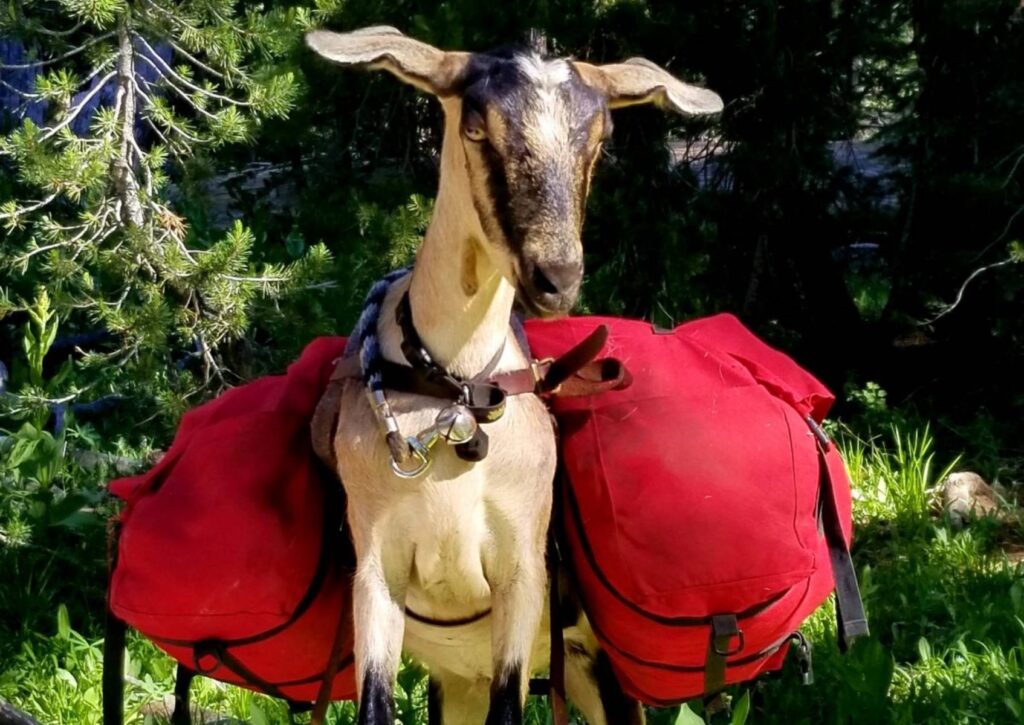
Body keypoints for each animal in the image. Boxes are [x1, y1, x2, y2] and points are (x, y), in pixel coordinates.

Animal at [306, 26, 722, 724]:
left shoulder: (522, 573)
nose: (556, 277)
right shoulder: (376, 573)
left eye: (601, 137)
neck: (452, 389)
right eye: (476, 126)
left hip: (593, 667)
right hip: (462, 683)